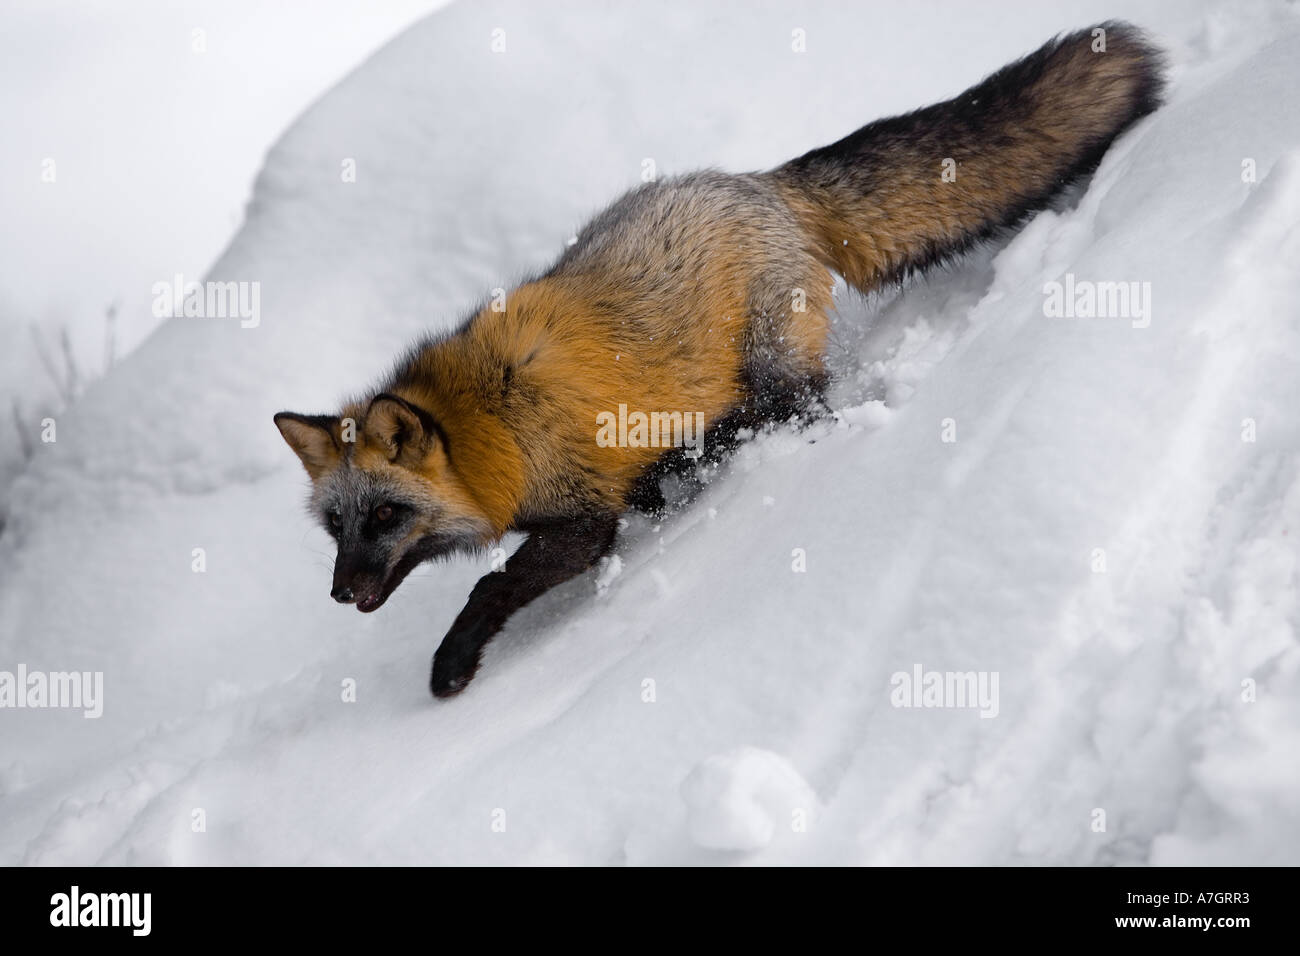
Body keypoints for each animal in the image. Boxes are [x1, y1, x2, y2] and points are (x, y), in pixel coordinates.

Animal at [275, 22, 1164, 698]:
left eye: (385, 516)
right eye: (335, 525)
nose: (340, 592)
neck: (488, 421)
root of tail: (758, 181)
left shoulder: (585, 515)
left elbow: (493, 584)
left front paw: (454, 663)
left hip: (776, 366)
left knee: (786, 408)